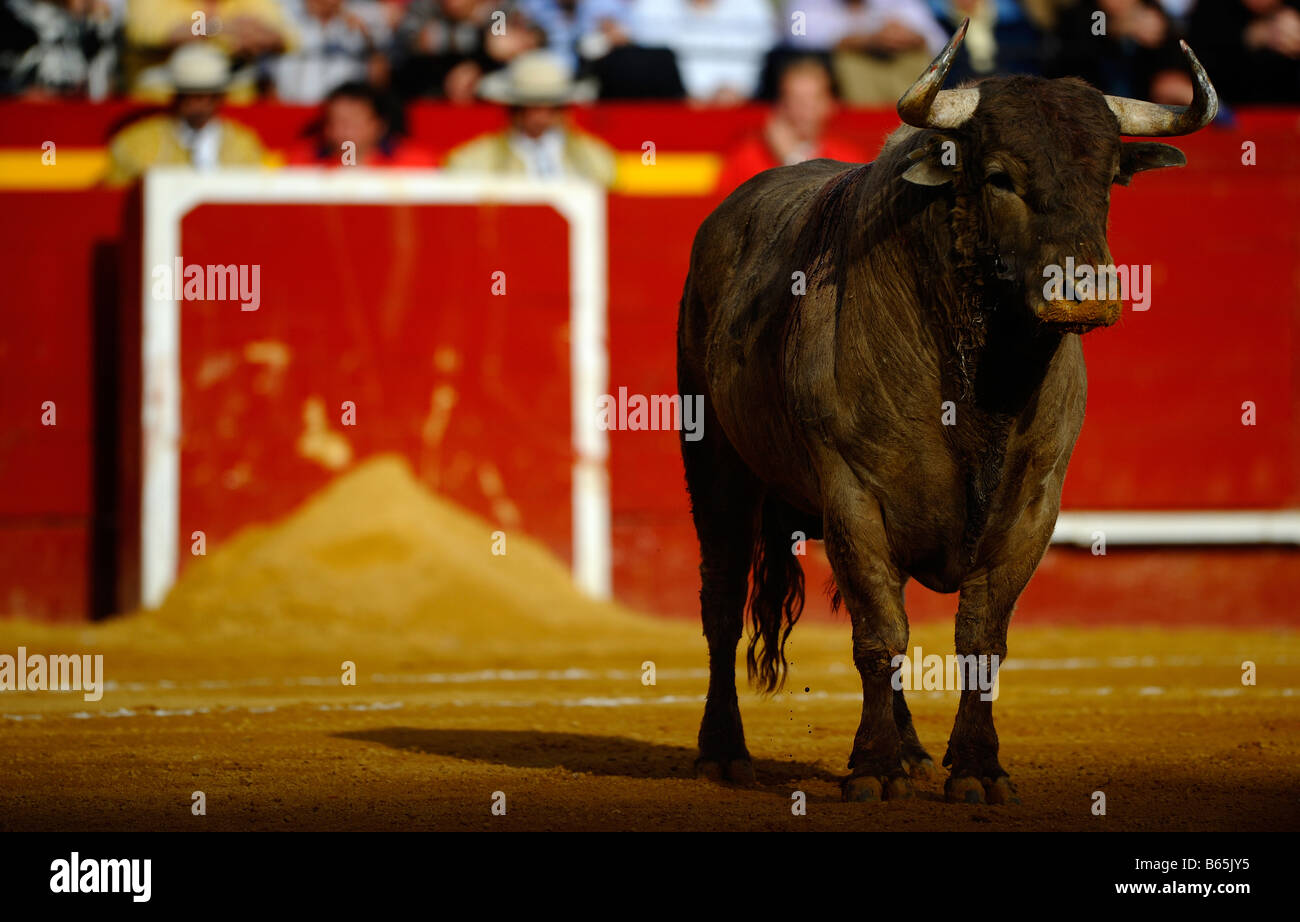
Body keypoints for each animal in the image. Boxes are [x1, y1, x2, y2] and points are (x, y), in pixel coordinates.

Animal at [677, 21, 1217, 804]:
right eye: (998, 176)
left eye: (1107, 177)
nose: (1081, 292)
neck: (981, 383)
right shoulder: (852, 493)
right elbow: (879, 634)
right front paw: (871, 769)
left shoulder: (1033, 504)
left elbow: (979, 637)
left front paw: (976, 768)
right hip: (714, 463)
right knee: (721, 601)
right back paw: (724, 752)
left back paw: (909, 751)